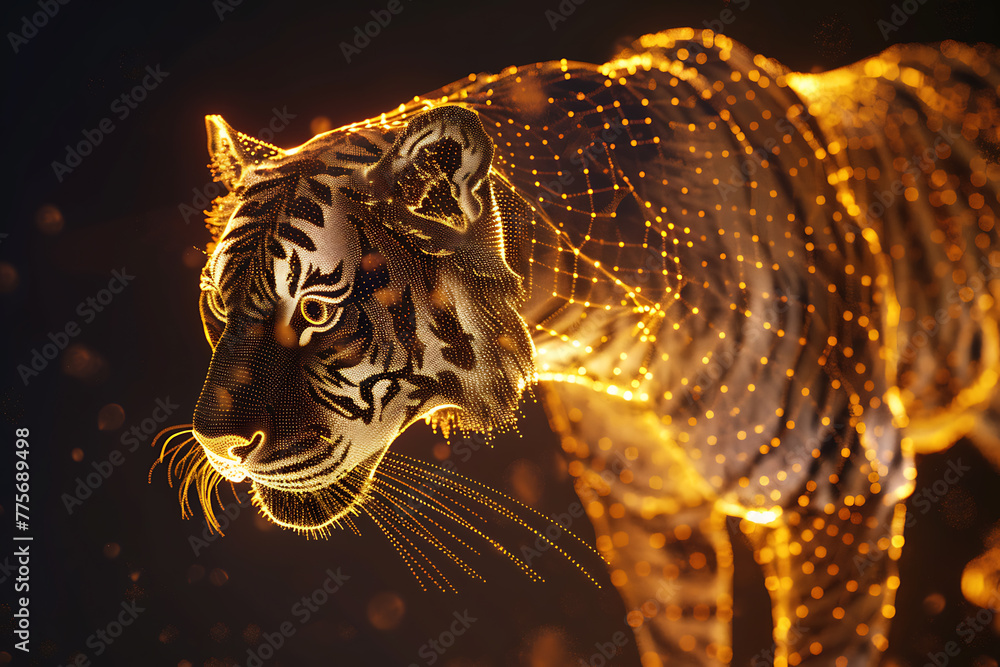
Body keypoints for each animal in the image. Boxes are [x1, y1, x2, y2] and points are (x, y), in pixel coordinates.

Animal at [162, 27, 1000, 667]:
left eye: (314, 309)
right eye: (217, 303)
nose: (217, 444)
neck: (604, 338)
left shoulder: (845, 486)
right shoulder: (649, 512)